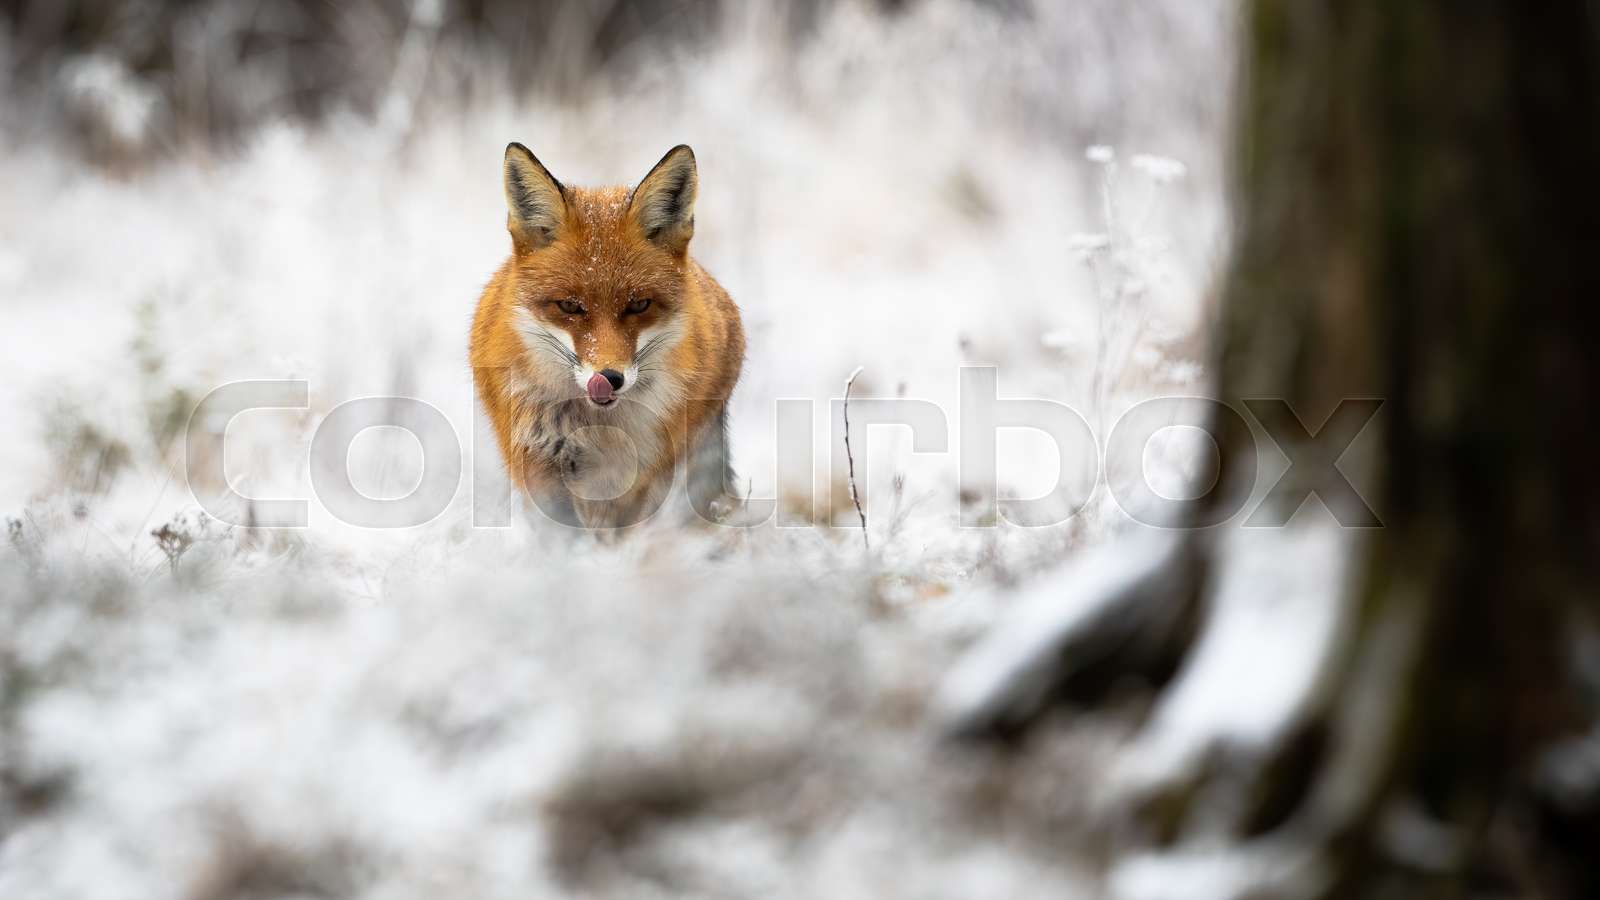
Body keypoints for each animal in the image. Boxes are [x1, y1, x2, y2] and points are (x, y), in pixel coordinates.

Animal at [470, 143, 745, 529]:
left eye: (639, 304)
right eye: (569, 306)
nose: (609, 378)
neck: (597, 429)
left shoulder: (640, 474)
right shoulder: (538, 465)